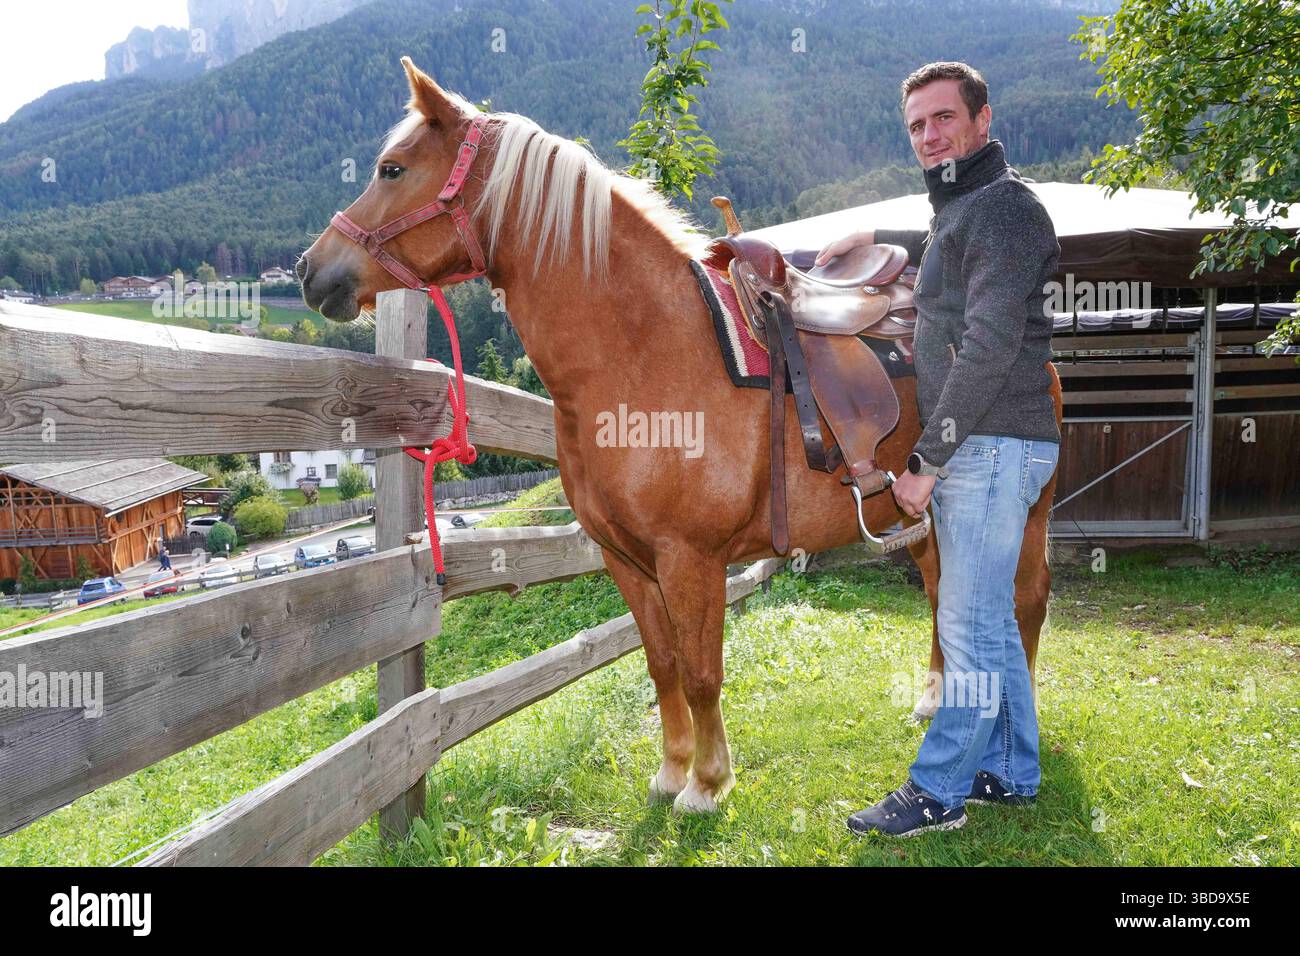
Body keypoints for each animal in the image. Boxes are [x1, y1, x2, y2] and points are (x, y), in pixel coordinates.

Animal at [297, 57, 1062, 814]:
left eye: (392, 169)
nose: (310, 270)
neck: (645, 351)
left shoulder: (690, 558)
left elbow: (700, 672)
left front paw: (708, 782)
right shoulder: (626, 561)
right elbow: (662, 664)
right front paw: (671, 770)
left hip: (1025, 513)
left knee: (1021, 606)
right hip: (920, 514)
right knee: (940, 592)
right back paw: (934, 698)